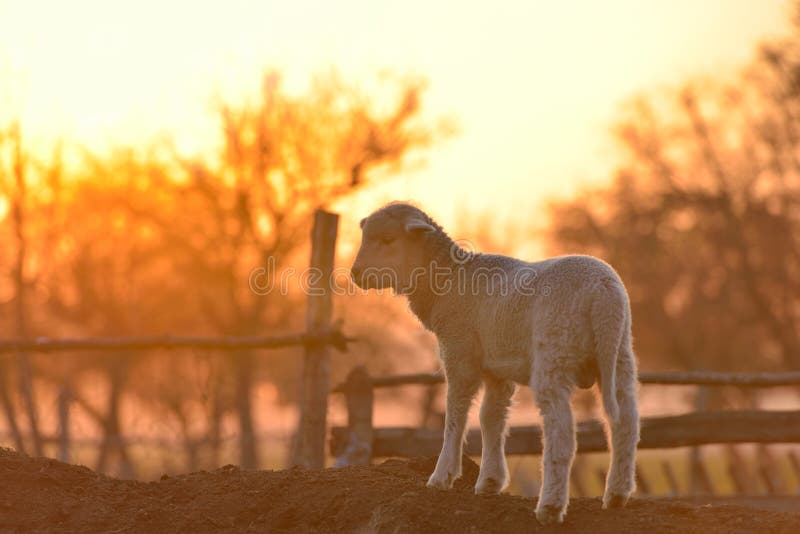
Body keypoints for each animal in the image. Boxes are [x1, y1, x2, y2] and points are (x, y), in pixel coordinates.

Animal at [350, 202, 640, 525]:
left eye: (388, 240)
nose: (355, 273)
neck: (449, 280)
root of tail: (603, 290)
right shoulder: (496, 370)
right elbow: (491, 418)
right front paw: (489, 481)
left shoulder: (459, 352)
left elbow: (456, 417)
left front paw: (442, 477)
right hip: (619, 354)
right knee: (626, 423)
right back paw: (616, 495)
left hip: (556, 351)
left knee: (562, 430)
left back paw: (550, 507)